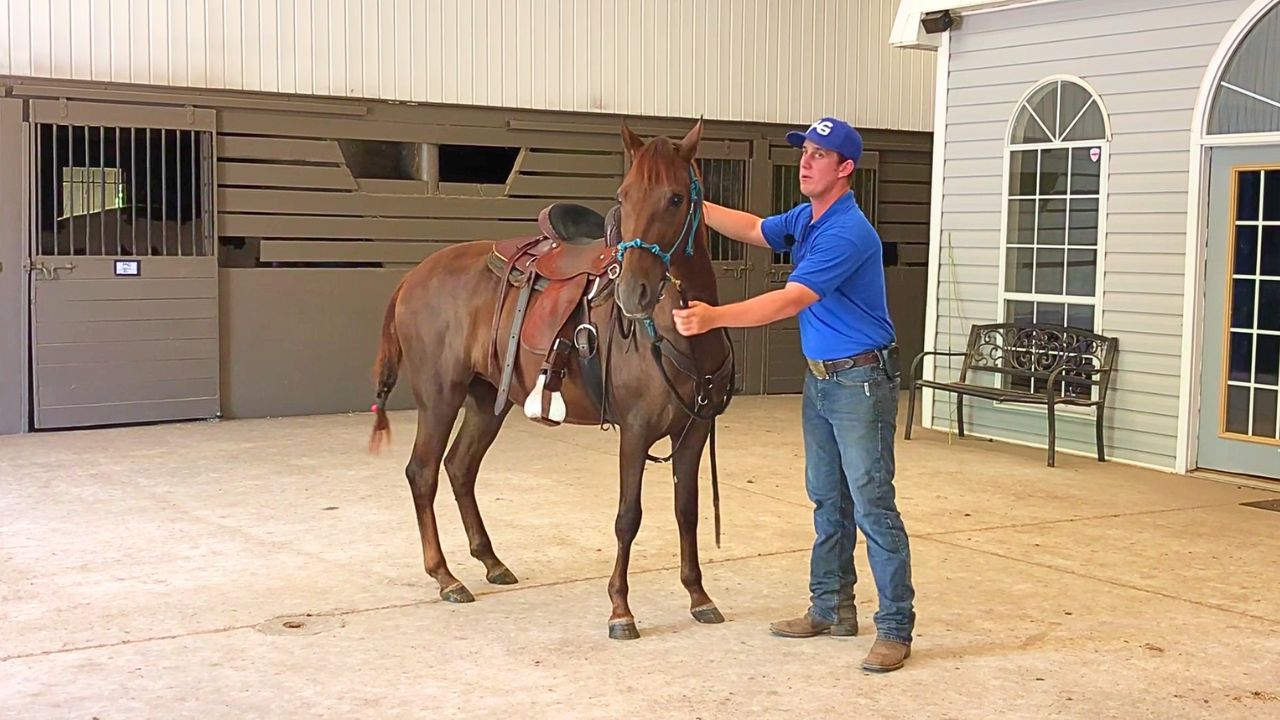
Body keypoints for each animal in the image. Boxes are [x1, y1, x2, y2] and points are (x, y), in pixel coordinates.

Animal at [365, 119, 736, 639]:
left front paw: (698, 595)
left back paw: (491, 561)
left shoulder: (694, 431)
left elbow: (688, 511)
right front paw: (620, 609)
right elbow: (628, 516)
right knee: (423, 472)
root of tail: (413, 276)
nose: (633, 292)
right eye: (624, 195)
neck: (676, 331)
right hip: (440, 398)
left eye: (676, 197)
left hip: (486, 401)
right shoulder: (635, 430)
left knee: (460, 467)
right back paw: (445, 576)